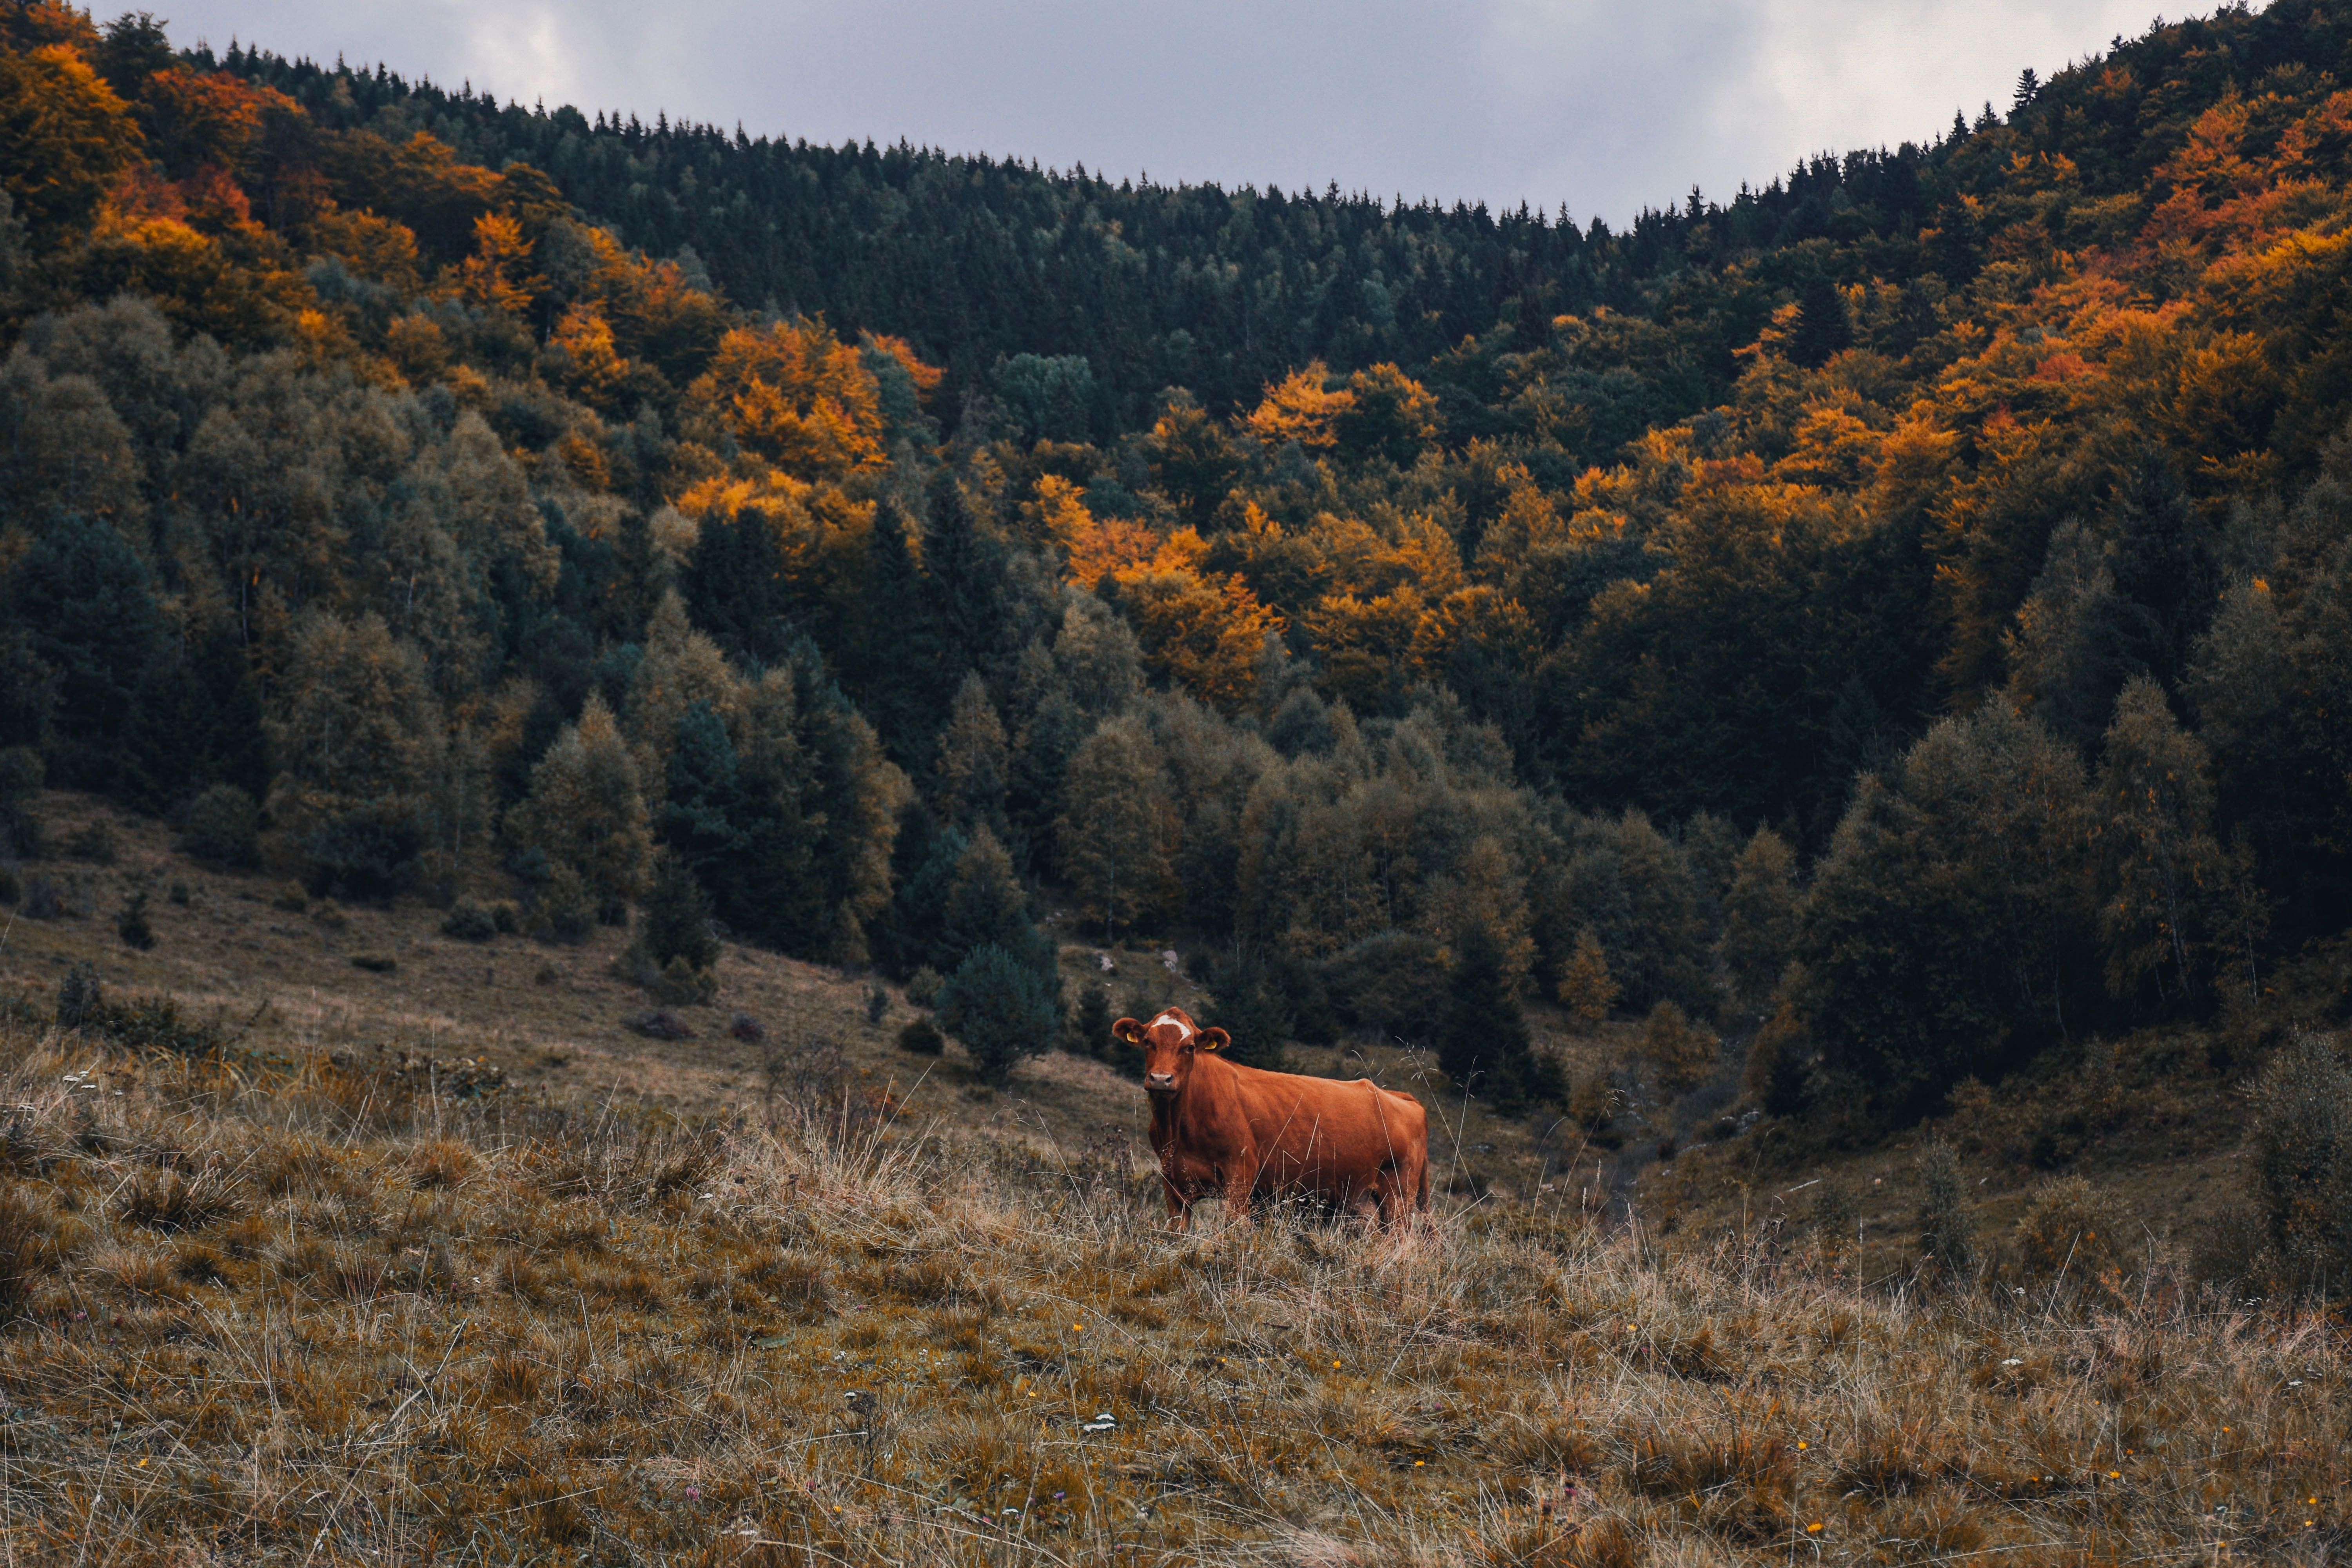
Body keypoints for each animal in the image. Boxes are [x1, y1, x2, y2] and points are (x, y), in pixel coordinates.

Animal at [1112, 1007, 1430, 1229]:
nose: (1161, 1079)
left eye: (1189, 1047)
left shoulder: (1240, 1174)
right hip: (1362, 1200)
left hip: (1398, 1194)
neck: (1178, 1128)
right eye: (1148, 1042)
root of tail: (1398, 1096)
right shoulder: (1172, 1181)